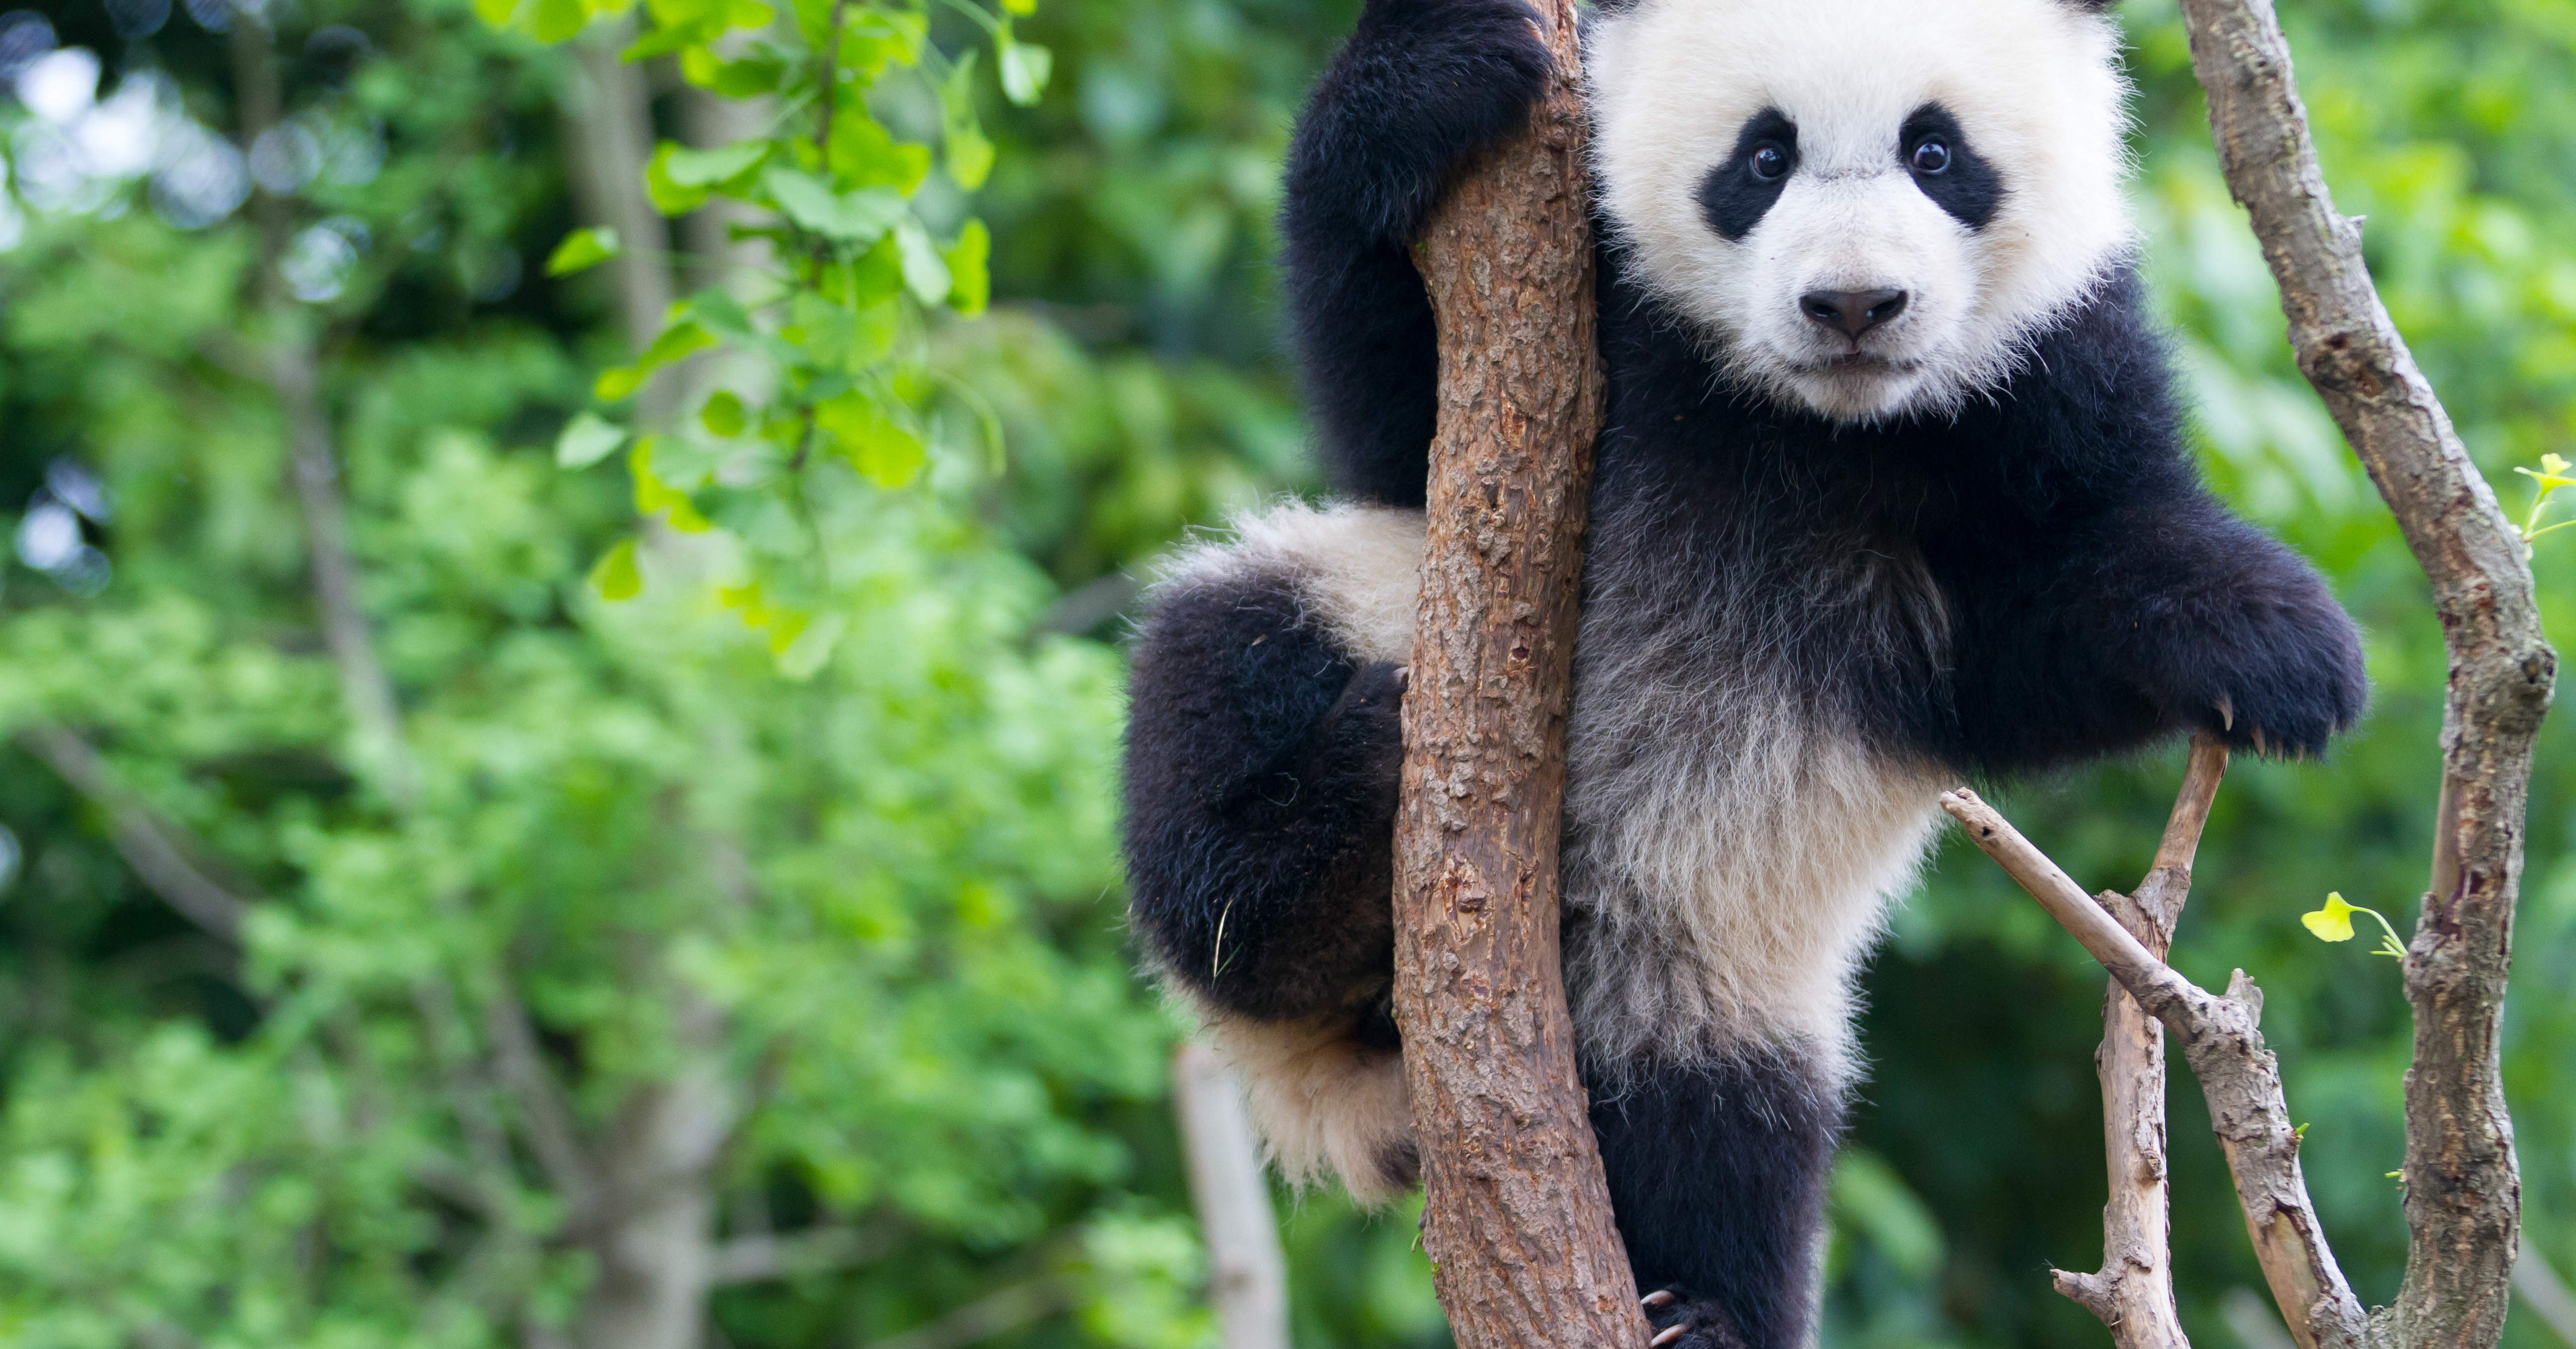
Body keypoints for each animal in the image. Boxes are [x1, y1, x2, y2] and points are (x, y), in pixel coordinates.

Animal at [1120, 0, 2369, 1345]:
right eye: (1762, 159)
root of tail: (1364, 1062)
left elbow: (2040, 631)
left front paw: (2277, 647)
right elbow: (1392, 406)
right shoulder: (1585, 314)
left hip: (1706, 967)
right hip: (1341, 607)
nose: (1854, 305)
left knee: (1725, 1125)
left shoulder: (2042, 378)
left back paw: (1704, 1305)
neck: (1812, 425)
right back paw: (1328, 828)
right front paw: (1438, 68)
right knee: (1214, 704)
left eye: (1936, 152)